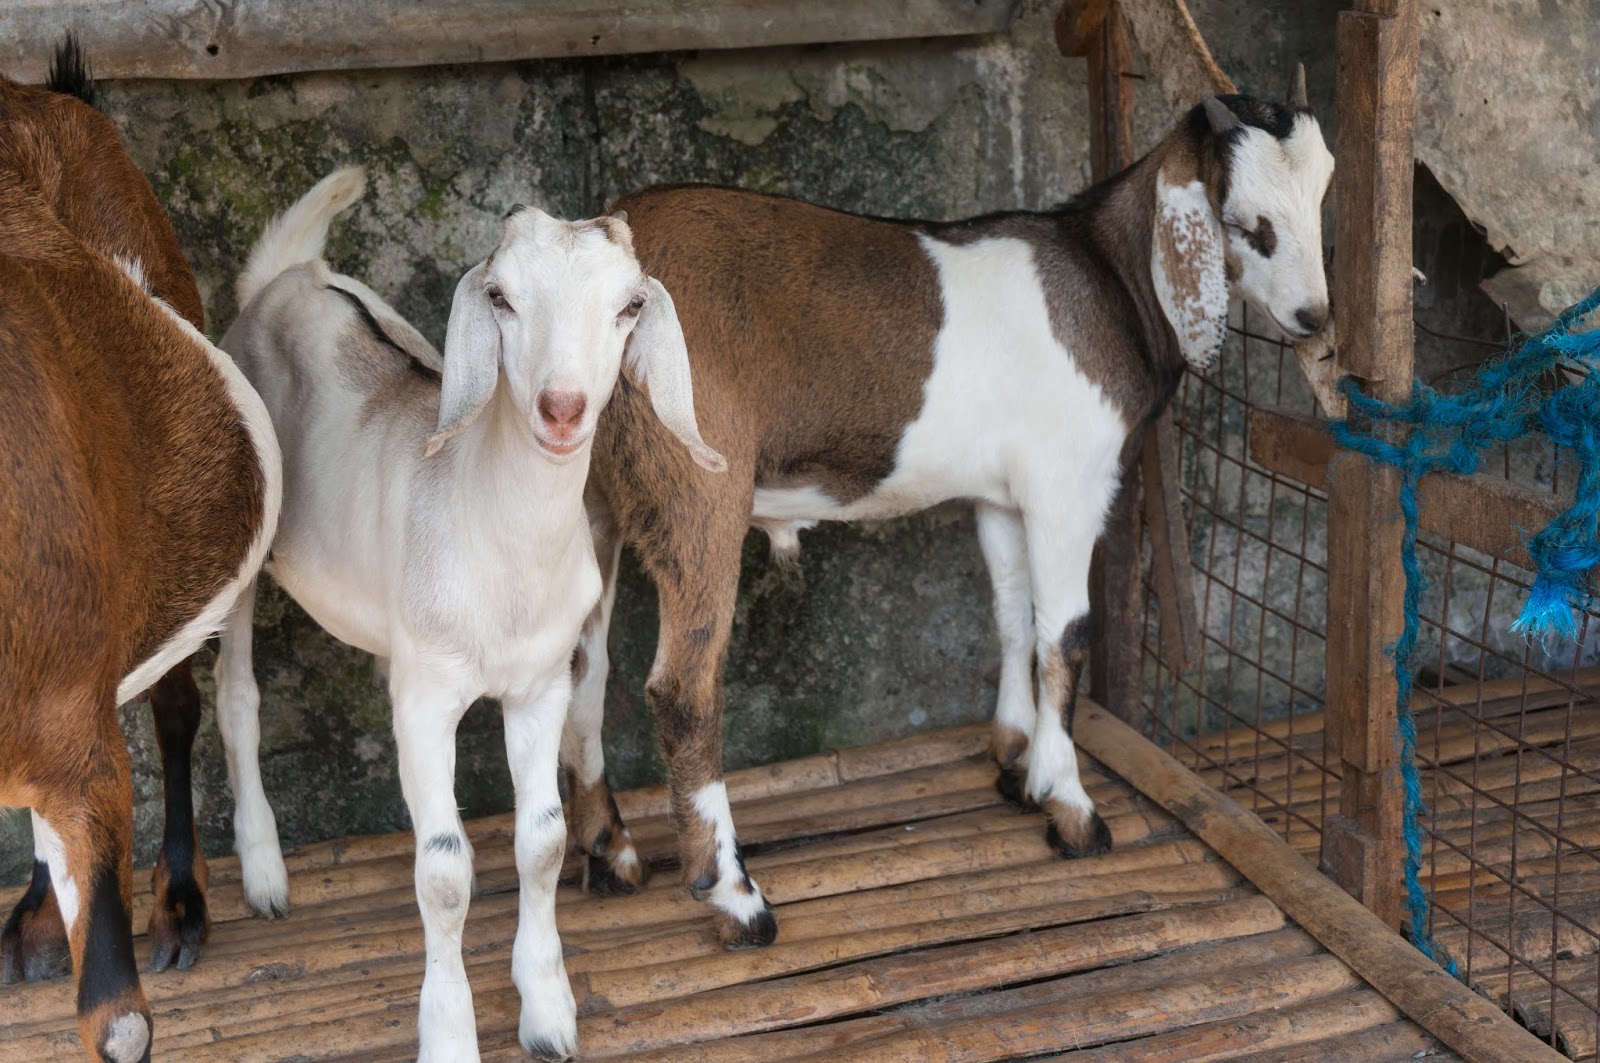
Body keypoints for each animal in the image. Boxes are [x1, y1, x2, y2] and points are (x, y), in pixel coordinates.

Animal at [213, 167, 722, 1061]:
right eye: (500, 296)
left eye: (630, 305)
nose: (562, 407)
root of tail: (290, 275)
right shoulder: (429, 698)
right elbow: (445, 871)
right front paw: (449, 1032)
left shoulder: (540, 685)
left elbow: (543, 840)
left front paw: (548, 1010)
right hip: (252, 538)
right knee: (237, 696)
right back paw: (266, 873)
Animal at [562, 87, 1334, 947]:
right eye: (1250, 224)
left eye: (1322, 200)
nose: (1315, 316)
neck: (1109, 279)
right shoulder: (1069, 481)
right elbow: (1067, 635)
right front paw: (1072, 809)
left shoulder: (1002, 493)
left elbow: (1012, 615)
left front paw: (1016, 759)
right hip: (698, 485)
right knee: (683, 689)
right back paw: (736, 898)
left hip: (588, 494)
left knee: (582, 666)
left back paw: (613, 855)